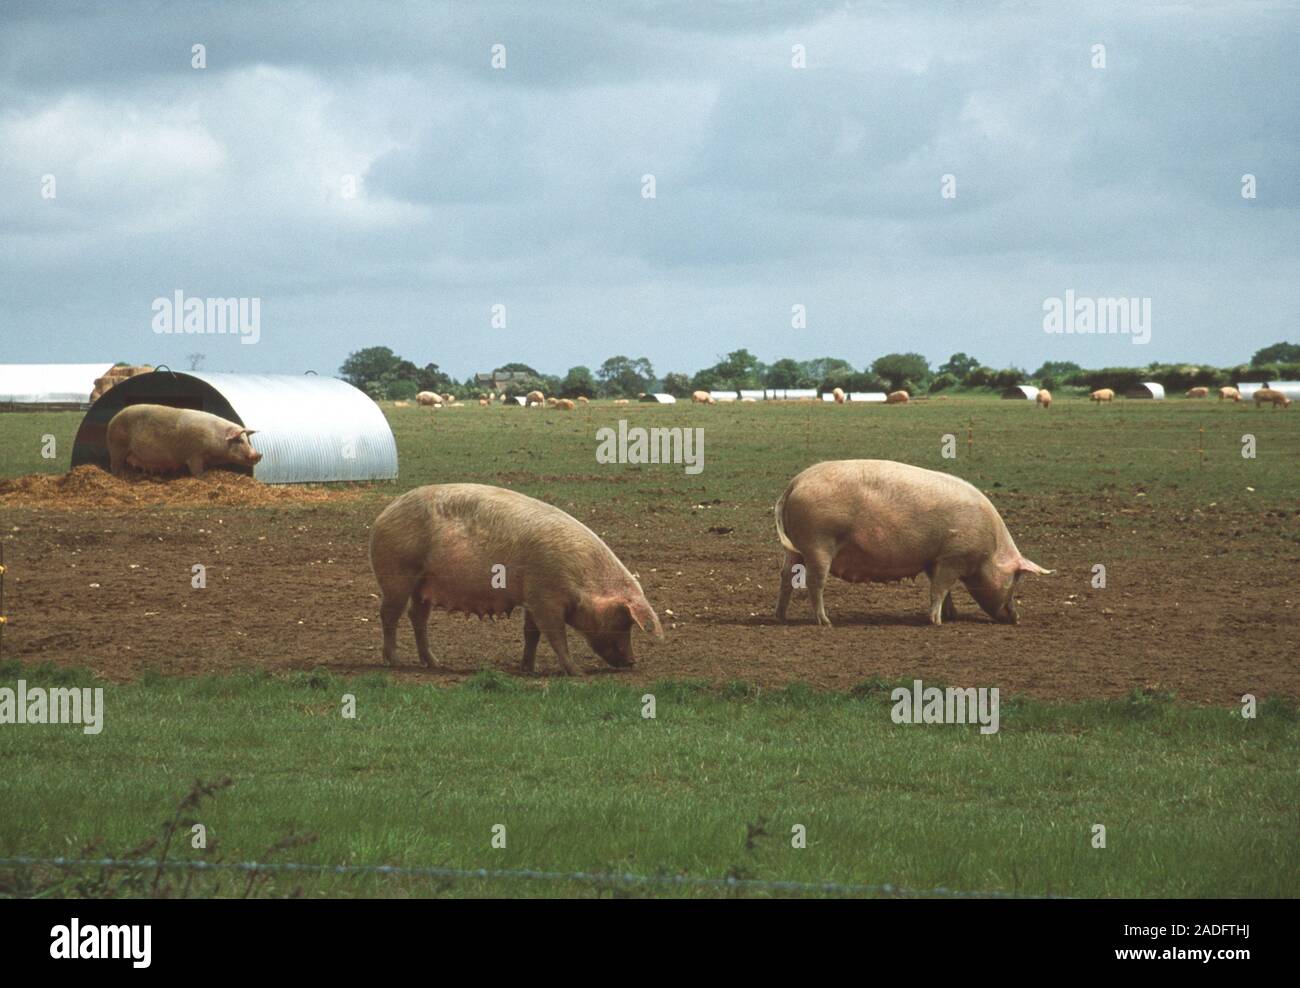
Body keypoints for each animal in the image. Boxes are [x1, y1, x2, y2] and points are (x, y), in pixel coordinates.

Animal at [106, 404, 263, 478]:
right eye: (239, 440)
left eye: (247, 440)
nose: (258, 455)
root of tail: (112, 420)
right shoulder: (195, 454)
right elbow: (197, 470)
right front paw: (203, 477)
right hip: (118, 445)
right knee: (115, 465)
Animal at [370, 484, 663, 674]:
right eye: (623, 620)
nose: (632, 662)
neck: (582, 579)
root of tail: (382, 514)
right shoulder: (546, 598)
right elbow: (556, 635)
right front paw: (577, 672)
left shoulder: (532, 597)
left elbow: (531, 633)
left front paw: (529, 668)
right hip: (398, 573)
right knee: (389, 614)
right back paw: (395, 662)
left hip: (423, 584)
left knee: (416, 616)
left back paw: (435, 663)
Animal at [774, 460, 1051, 627]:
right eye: (1015, 580)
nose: (1016, 618)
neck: (990, 551)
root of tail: (795, 483)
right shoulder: (952, 557)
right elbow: (940, 588)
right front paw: (937, 622)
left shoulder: (934, 559)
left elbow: (943, 590)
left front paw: (952, 615)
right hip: (818, 542)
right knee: (815, 582)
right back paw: (825, 622)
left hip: (796, 548)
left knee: (785, 577)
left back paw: (781, 617)